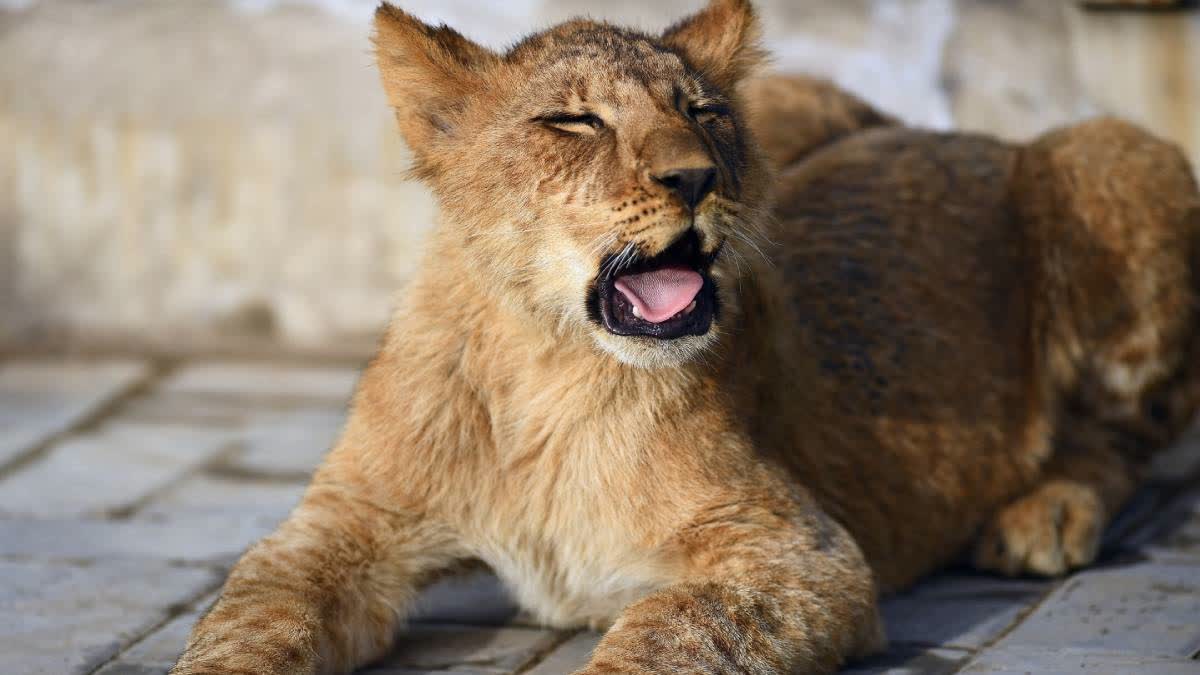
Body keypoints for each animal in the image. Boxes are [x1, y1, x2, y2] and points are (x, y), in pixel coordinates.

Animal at [171, 1, 1200, 673]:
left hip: (1113, 159)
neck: (542, 368)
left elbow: (665, 636)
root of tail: (958, 131)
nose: (698, 177)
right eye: (573, 120)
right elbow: (243, 621)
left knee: (1128, 430)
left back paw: (1044, 516)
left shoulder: (799, 554)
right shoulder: (344, 523)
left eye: (701, 113)